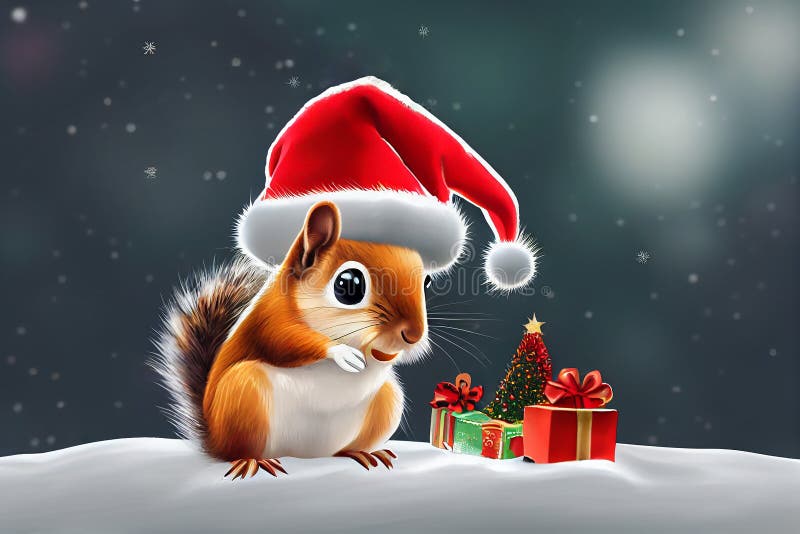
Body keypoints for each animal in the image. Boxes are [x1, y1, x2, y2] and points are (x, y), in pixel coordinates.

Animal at [152, 201, 430, 479]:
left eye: (426, 282)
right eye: (348, 284)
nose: (413, 335)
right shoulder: (270, 320)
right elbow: (283, 341)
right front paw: (341, 353)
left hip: (387, 401)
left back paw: (359, 452)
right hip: (244, 391)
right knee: (239, 448)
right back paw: (252, 461)